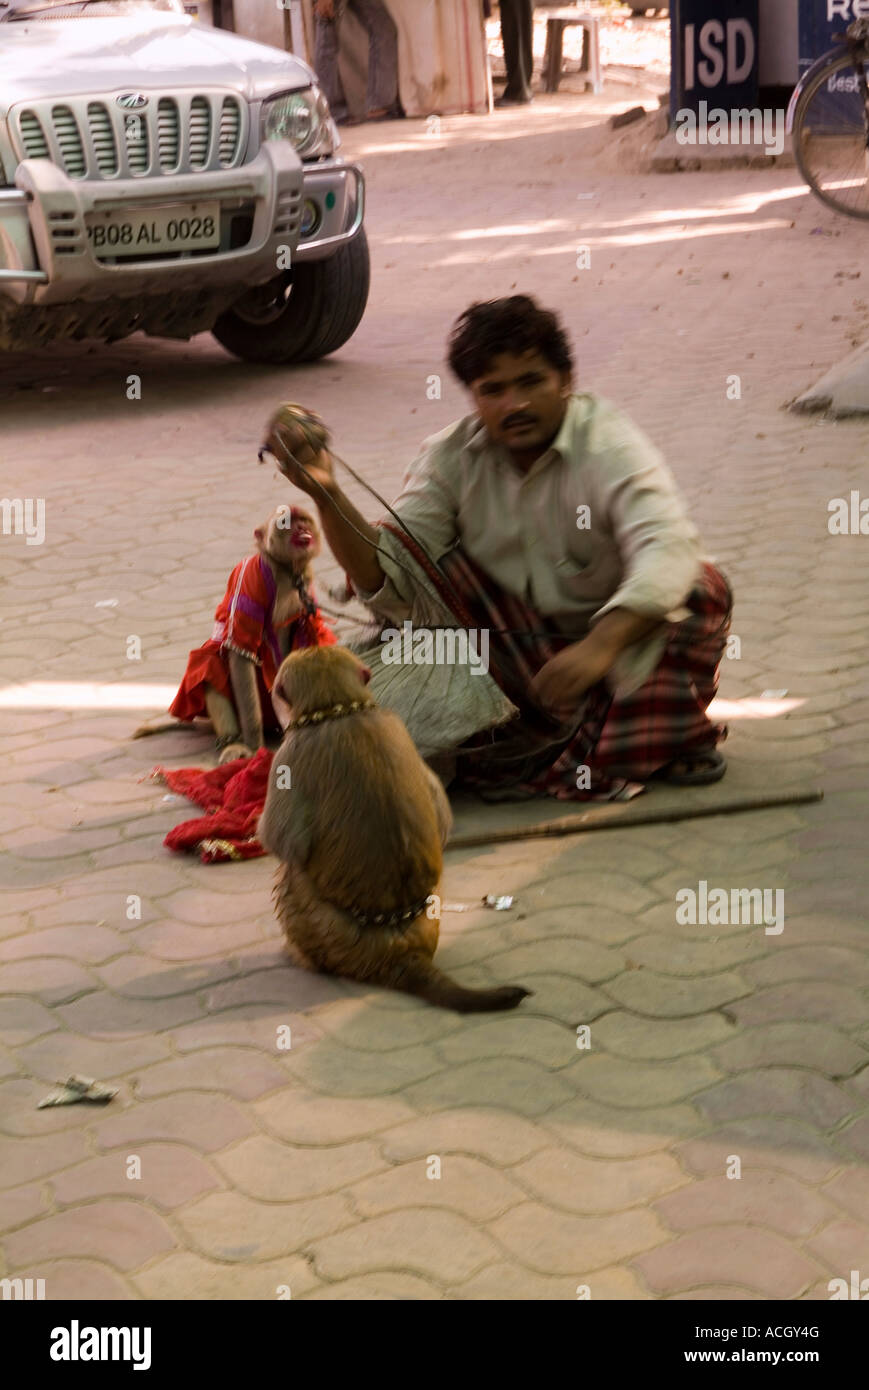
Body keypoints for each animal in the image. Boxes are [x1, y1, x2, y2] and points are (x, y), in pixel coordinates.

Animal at [135, 505, 335, 760]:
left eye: (303, 520)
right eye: (286, 522)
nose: (301, 528)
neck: (284, 569)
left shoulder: (306, 585)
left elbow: (306, 636)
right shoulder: (251, 577)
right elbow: (240, 649)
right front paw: (255, 747)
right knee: (210, 665)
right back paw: (234, 743)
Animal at [257, 644, 531, 1013]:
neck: (339, 710)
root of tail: (399, 952)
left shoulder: (291, 752)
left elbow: (284, 843)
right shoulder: (396, 723)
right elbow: (441, 815)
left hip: (319, 929)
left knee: (292, 876)